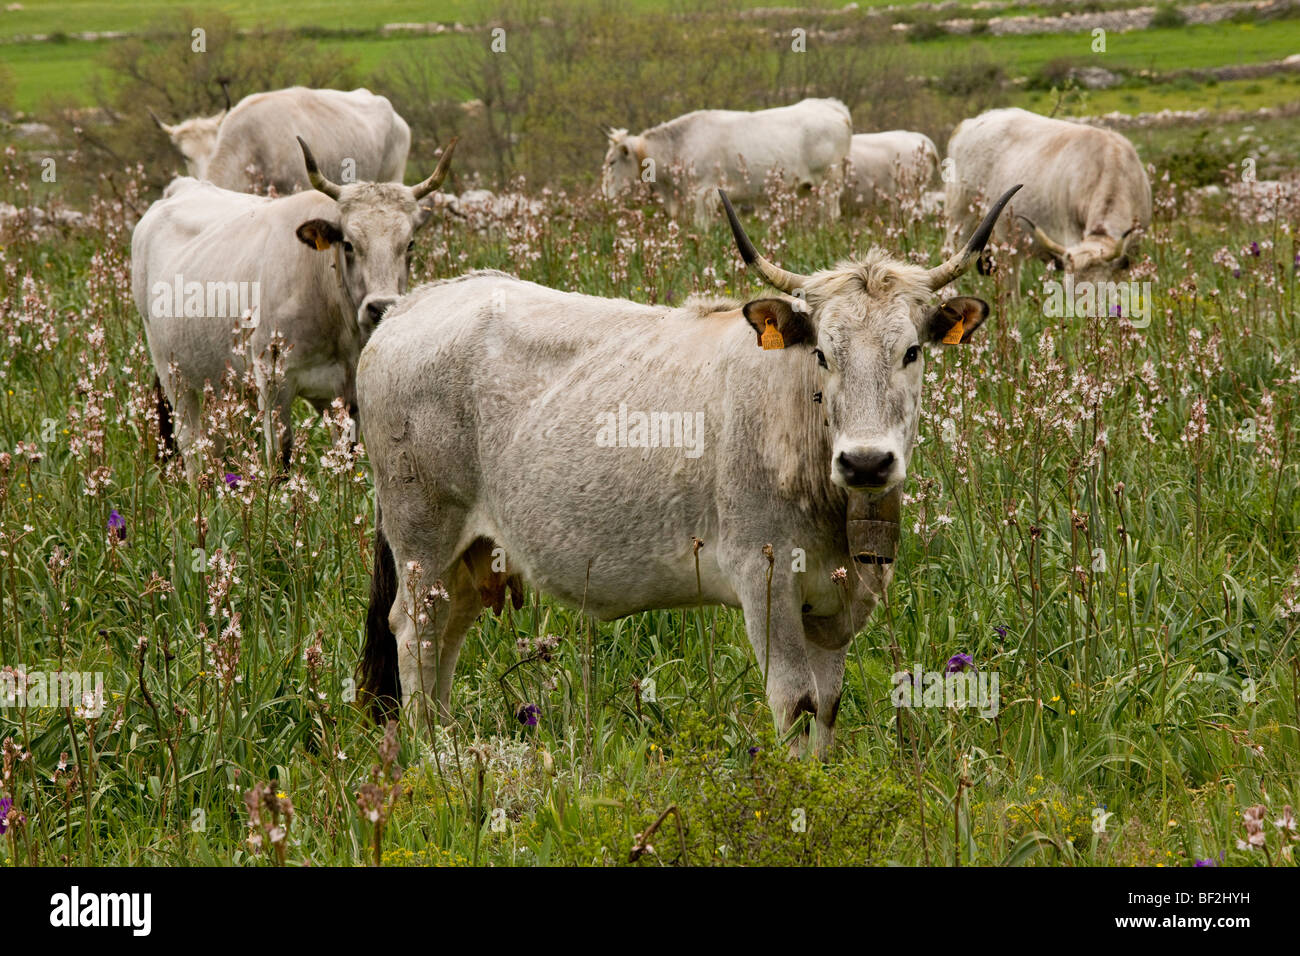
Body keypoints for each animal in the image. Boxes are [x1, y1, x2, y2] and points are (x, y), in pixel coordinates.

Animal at [131, 137, 456, 476]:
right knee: (191, 443)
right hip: (173, 374)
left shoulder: (347, 394)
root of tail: (181, 188)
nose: (379, 307)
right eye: (349, 244)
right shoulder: (274, 383)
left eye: (409, 244)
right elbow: (282, 457)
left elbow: (347, 456)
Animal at [356, 181, 1021, 759]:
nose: (864, 461)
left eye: (910, 351)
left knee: (447, 633)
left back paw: (444, 742)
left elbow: (827, 706)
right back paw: (429, 756)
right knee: (415, 633)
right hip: (422, 535)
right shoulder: (763, 580)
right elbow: (795, 703)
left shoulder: (839, 603)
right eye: (823, 355)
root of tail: (412, 306)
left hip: (471, 556)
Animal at [601, 99, 852, 225]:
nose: (605, 195)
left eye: (612, 162)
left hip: (829, 182)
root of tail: (830, 105)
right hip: (809, 188)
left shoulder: (704, 193)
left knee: (830, 214)